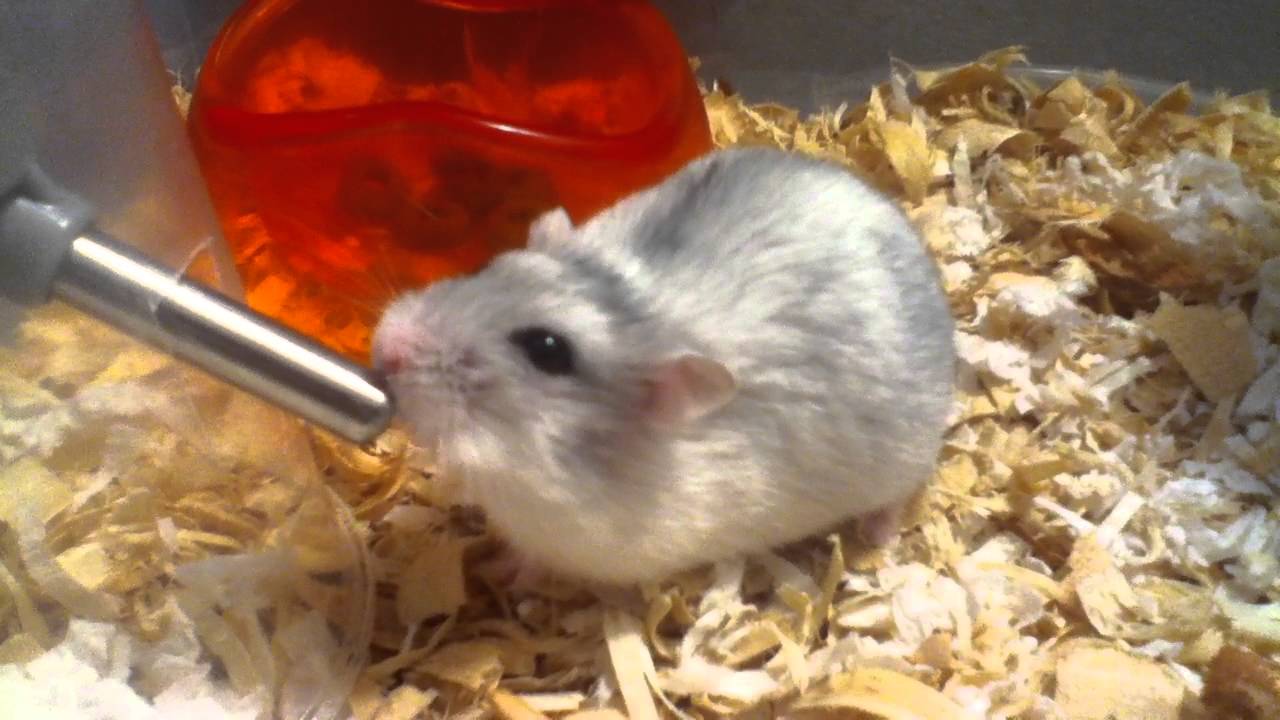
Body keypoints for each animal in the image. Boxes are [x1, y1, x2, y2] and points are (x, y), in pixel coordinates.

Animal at [373, 147, 955, 585]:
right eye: (489, 264)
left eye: (547, 349)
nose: (387, 347)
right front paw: (496, 567)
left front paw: (511, 577)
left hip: (906, 454)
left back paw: (874, 537)